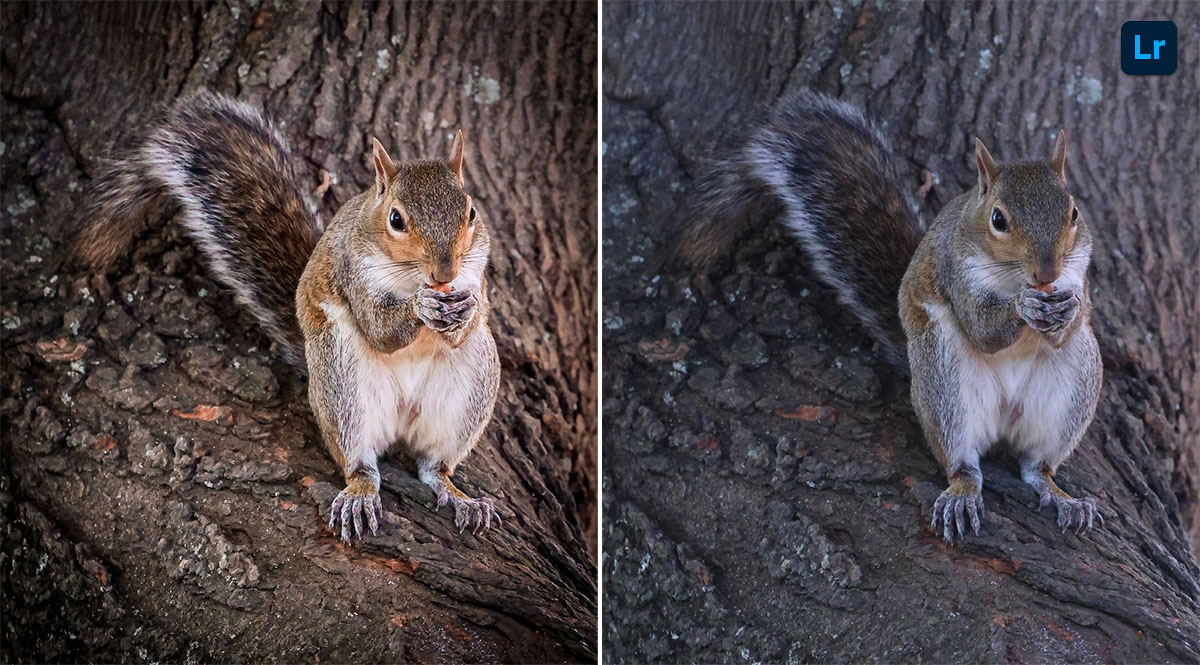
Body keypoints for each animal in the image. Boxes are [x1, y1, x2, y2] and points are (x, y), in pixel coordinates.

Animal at [77, 91, 501, 542]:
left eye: (472, 212)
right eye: (396, 219)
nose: (444, 274)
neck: (411, 276)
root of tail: (402, 420)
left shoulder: (476, 270)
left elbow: (468, 320)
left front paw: (468, 309)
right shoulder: (352, 270)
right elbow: (381, 330)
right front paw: (421, 306)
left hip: (473, 381)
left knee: (433, 466)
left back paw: (461, 497)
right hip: (341, 377)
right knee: (359, 462)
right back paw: (361, 491)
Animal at [682, 90, 1103, 542]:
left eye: (1074, 212)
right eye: (998, 219)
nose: (1047, 274)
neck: (1014, 276)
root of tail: (1005, 417)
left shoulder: (1078, 271)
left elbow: (1069, 323)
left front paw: (1070, 310)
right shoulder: (955, 269)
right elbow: (983, 329)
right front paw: (1023, 306)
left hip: (1076, 380)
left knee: (1036, 466)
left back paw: (1063, 498)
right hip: (943, 375)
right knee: (961, 460)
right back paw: (963, 491)